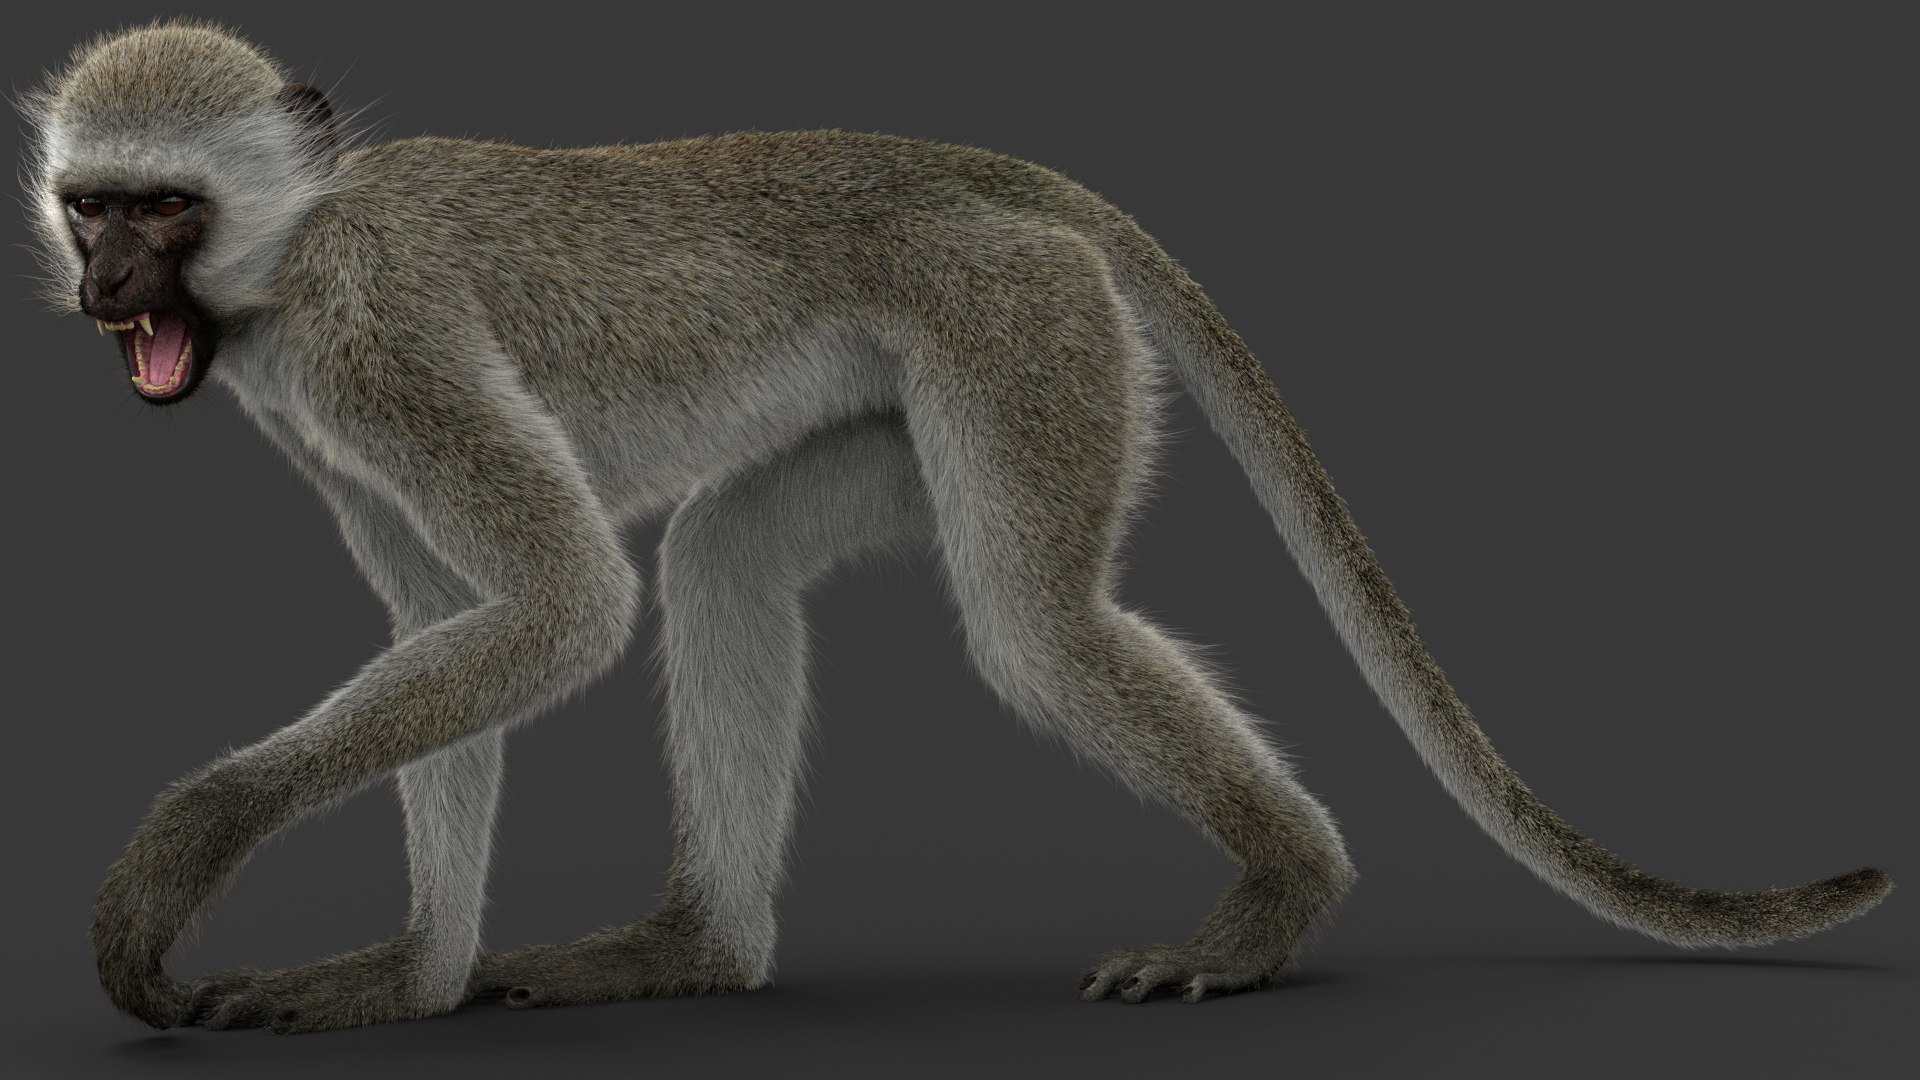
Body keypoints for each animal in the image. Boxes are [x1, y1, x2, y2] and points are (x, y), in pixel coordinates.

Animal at [25, 20, 1891, 1035]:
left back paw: (1277, 897)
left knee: (1031, 627)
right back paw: (699, 952)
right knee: (730, 560)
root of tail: (975, 174)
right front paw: (409, 980)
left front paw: (183, 849)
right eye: (87, 205)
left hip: (1022, 322)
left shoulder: (378, 343)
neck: (292, 259)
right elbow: (470, 629)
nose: (105, 287)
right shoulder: (325, 417)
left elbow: (559, 606)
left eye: (163, 207)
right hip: (924, 380)